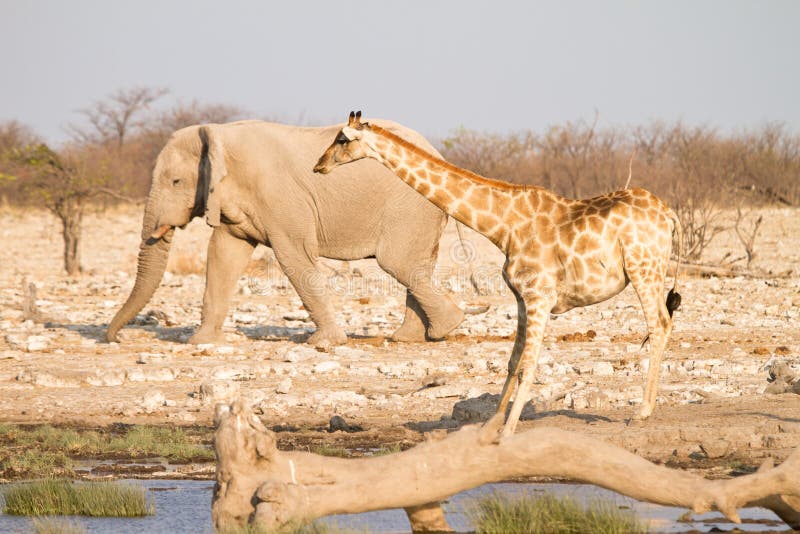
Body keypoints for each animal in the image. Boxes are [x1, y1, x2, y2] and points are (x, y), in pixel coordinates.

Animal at [106, 119, 465, 346]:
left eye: (176, 181)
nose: (115, 337)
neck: (217, 135)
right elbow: (223, 254)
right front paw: (202, 342)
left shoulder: (280, 197)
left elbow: (294, 256)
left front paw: (324, 342)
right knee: (414, 266)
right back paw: (412, 337)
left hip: (411, 207)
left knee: (397, 263)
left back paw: (447, 326)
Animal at [314, 112, 682, 436]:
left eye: (342, 139)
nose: (319, 165)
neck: (504, 226)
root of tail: (669, 215)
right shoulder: (521, 298)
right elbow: (513, 362)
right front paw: (492, 422)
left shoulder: (540, 297)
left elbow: (529, 365)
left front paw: (508, 428)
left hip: (644, 269)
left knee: (659, 324)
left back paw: (642, 411)